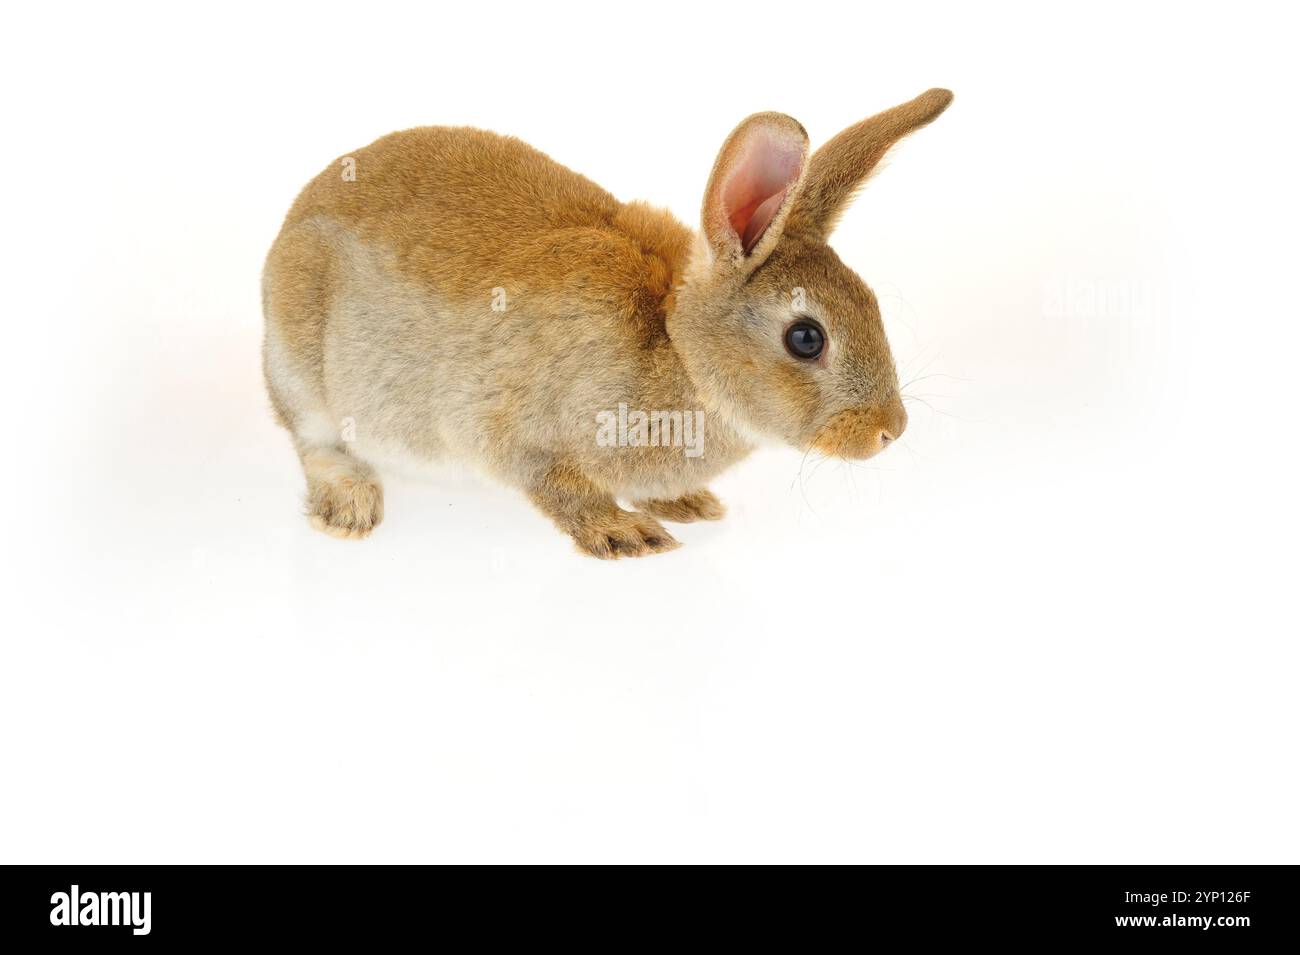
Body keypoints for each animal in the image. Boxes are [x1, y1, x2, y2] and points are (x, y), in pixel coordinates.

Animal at [262, 88, 953, 558]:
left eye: (871, 301)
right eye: (806, 338)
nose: (890, 430)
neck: (679, 353)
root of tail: (293, 222)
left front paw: (684, 504)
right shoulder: (515, 427)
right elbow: (558, 483)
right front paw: (625, 534)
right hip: (301, 365)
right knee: (314, 440)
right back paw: (348, 508)